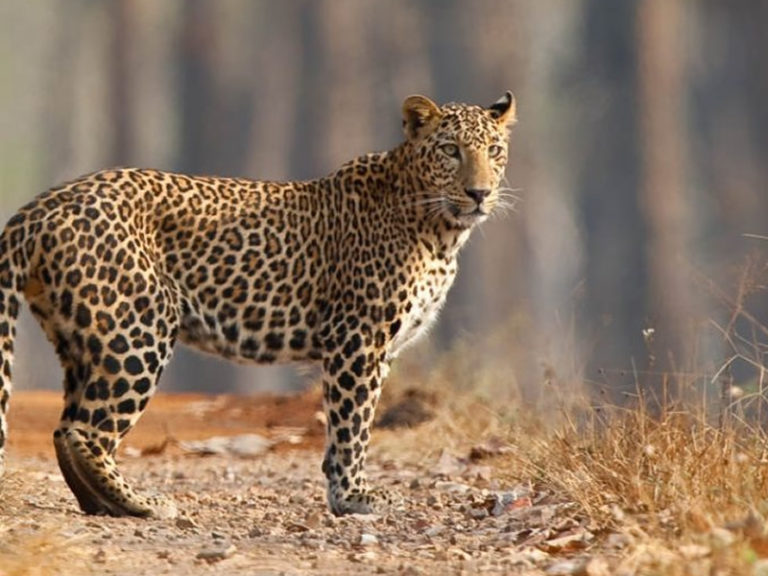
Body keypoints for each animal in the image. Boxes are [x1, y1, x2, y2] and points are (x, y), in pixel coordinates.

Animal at [0, 92, 517, 518]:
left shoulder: (376, 350)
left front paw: (341, 494)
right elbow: (353, 425)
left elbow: (346, 429)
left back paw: (103, 504)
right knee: (86, 431)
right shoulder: (358, 339)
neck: (440, 231)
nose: (480, 193)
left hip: (82, 337)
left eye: (494, 150)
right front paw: (355, 496)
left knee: (64, 429)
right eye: (450, 151)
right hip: (138, 330)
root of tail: (38, 208)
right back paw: (142, 504)